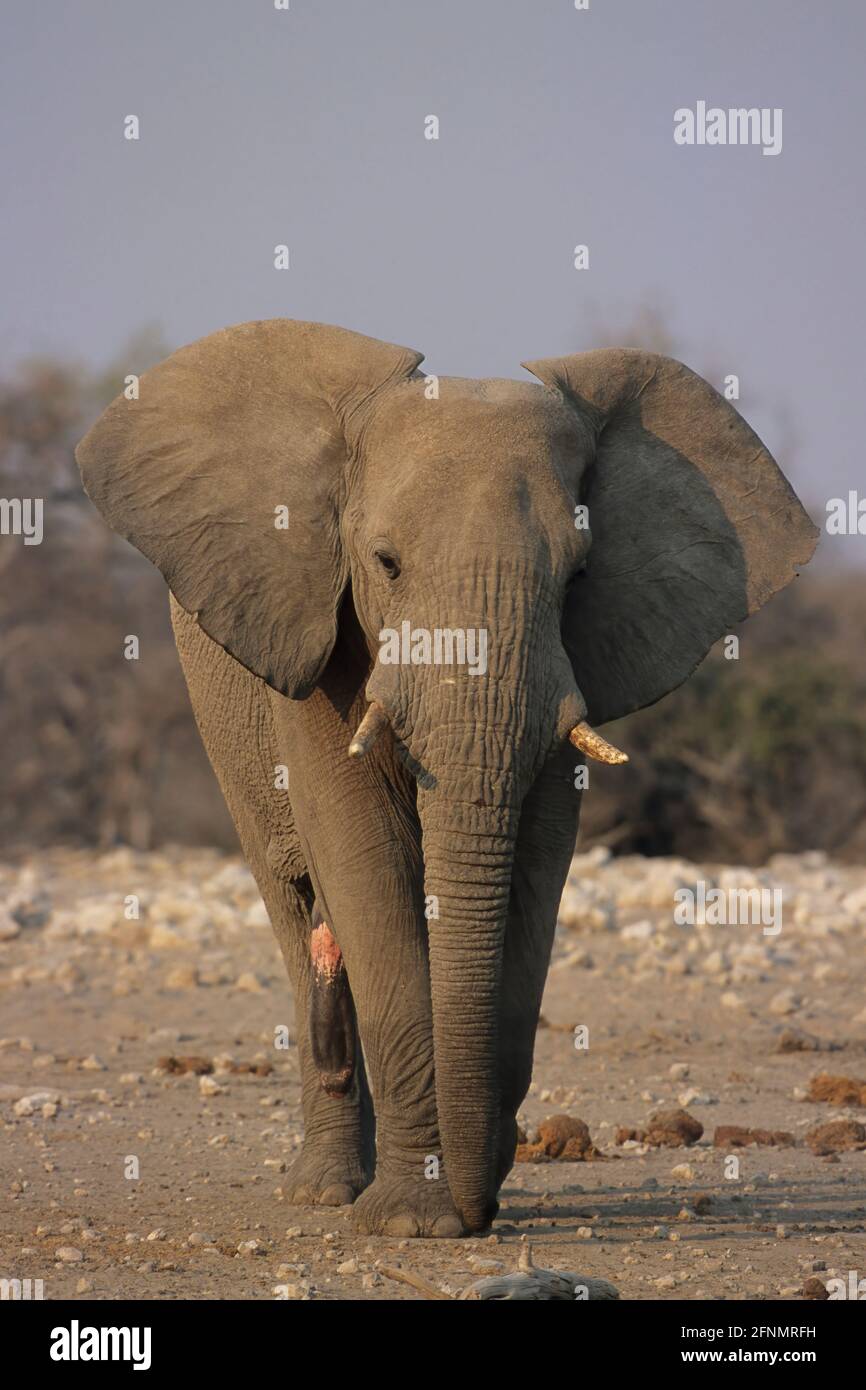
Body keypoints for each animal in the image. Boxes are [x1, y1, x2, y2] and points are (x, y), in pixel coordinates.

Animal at [75, 319, 817, 1237]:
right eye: (385, 563)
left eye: (578, 577)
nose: (480, 1207)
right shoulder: (319, 642)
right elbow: (362, 863)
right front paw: (413, 1223)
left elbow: (534, 868)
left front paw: (468, 1188)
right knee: (293, 905)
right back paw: (325, 1191)